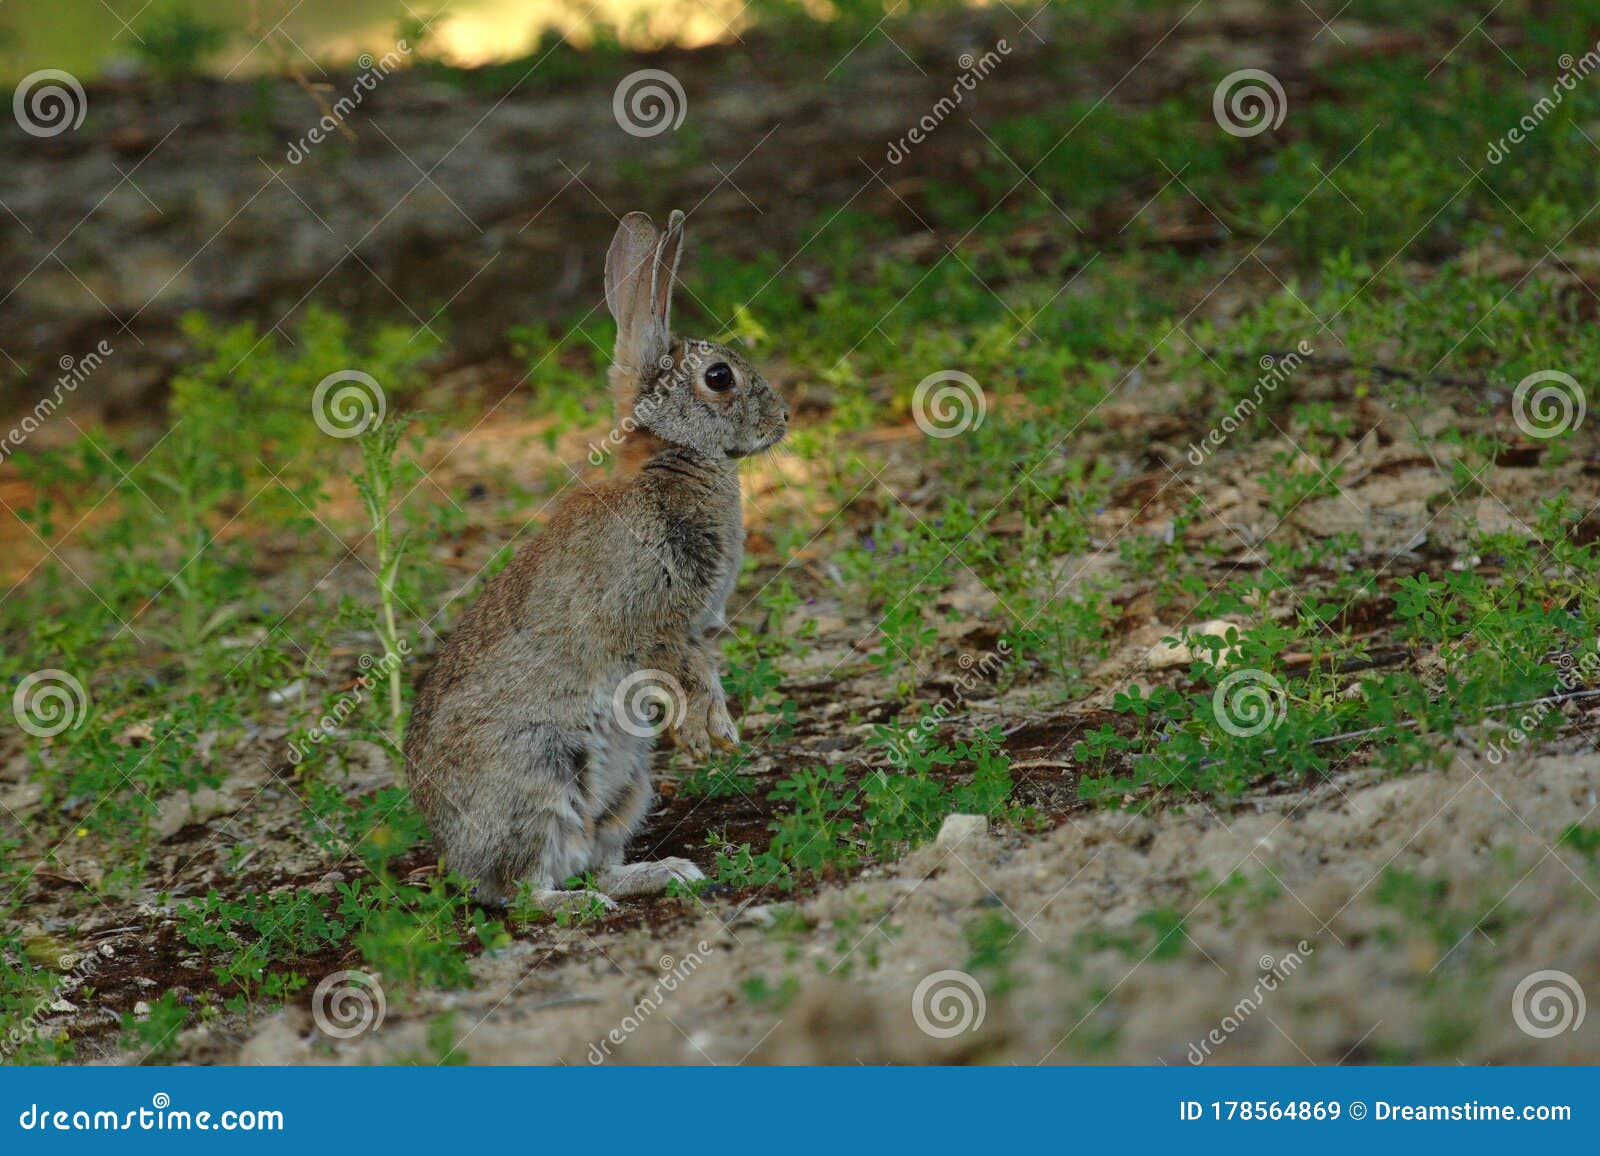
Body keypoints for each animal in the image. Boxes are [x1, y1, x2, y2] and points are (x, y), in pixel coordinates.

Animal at [406, 209, 789, 909]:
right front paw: (714, 733)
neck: (668, 459)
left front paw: (715, 735)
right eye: (719, 377)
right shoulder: (655, 624)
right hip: (541, 774)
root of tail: (456, 861)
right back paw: (583, 903)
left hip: (628, 782)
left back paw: (667, 873)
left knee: (595, 856)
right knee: (526, 890)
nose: (783, 418)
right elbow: (688, 675)